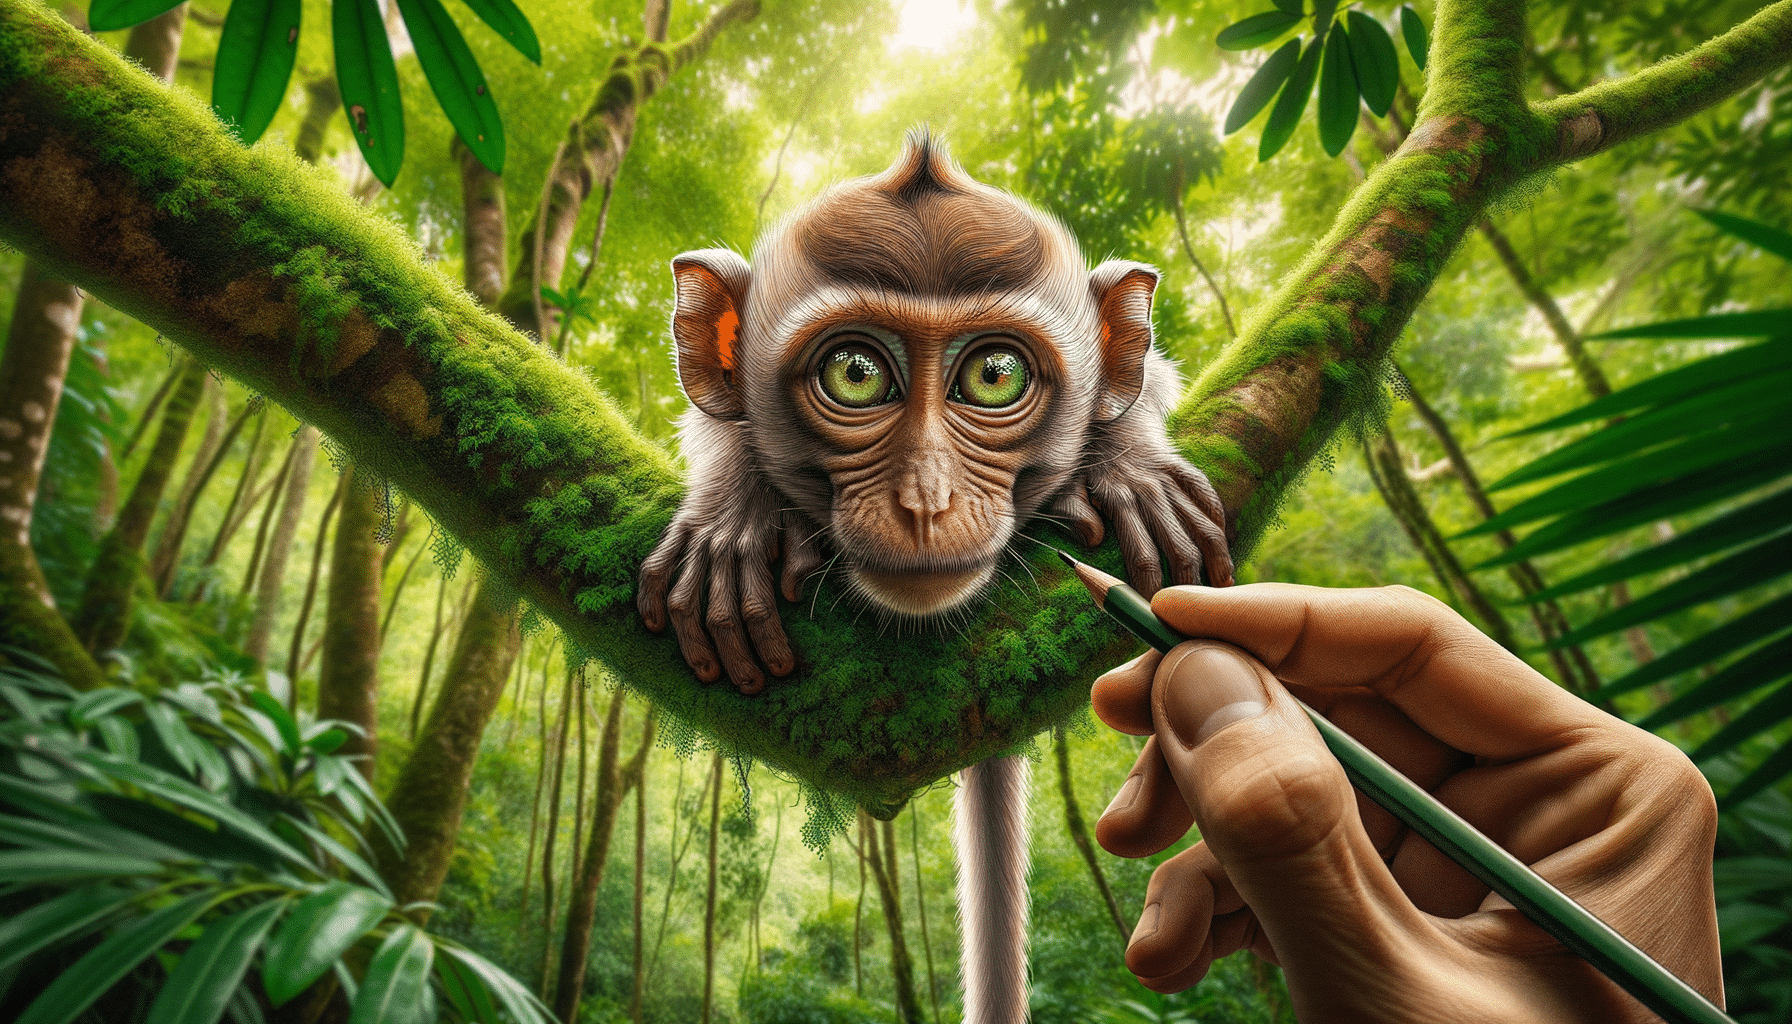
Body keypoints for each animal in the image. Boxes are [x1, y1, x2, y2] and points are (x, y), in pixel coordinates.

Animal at [637, 130, 1231, 1023]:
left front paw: (1131, 468)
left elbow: (1146, 385)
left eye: (994, 376)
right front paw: (732, 519)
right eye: (855, 373)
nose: (925, 499)